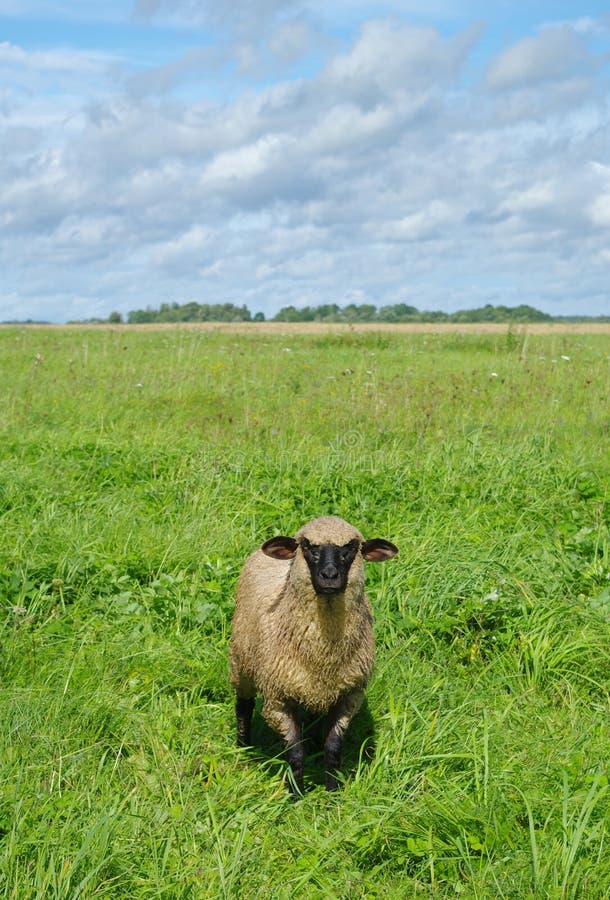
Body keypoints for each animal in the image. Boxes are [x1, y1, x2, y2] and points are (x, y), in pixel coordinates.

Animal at [229, 515, 398, 794]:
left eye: (352, 547)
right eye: (307, 546)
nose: (329, 576)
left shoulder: (349, 696)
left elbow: (333, 749)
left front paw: (332, 792)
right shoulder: (278, 700)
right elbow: (296, 754)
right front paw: (297, 795)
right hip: (240, 663)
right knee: (243, 705)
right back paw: (243, 746)